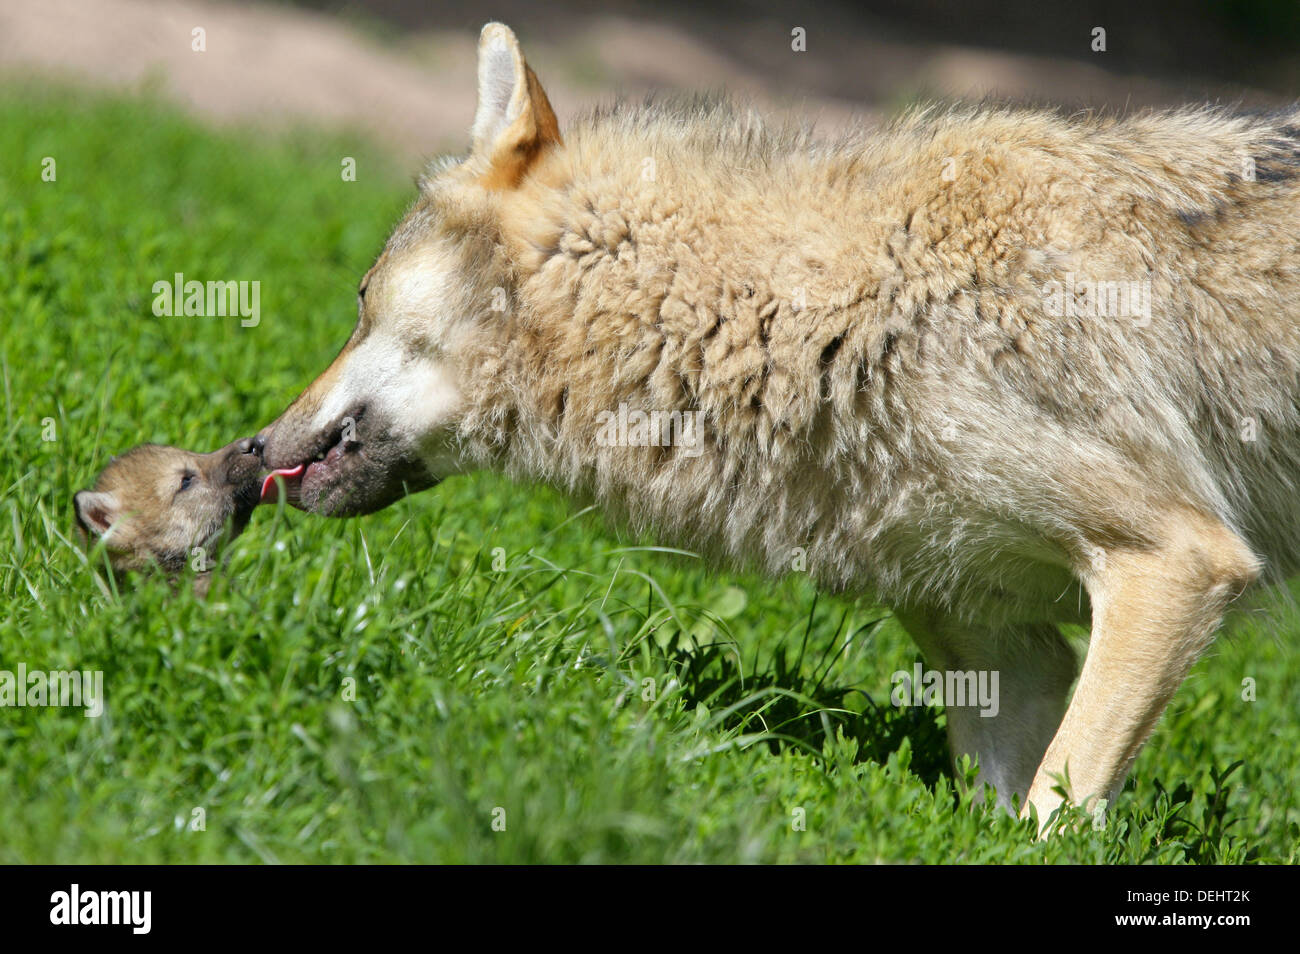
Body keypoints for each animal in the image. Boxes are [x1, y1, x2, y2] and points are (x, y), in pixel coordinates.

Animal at [257, 22, 1300, 826]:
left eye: (358, 297)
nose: (256, 448)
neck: (824, 316)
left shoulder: (1179, 561)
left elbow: (1055, 812)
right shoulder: (1002, 646)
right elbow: (1000, 809)